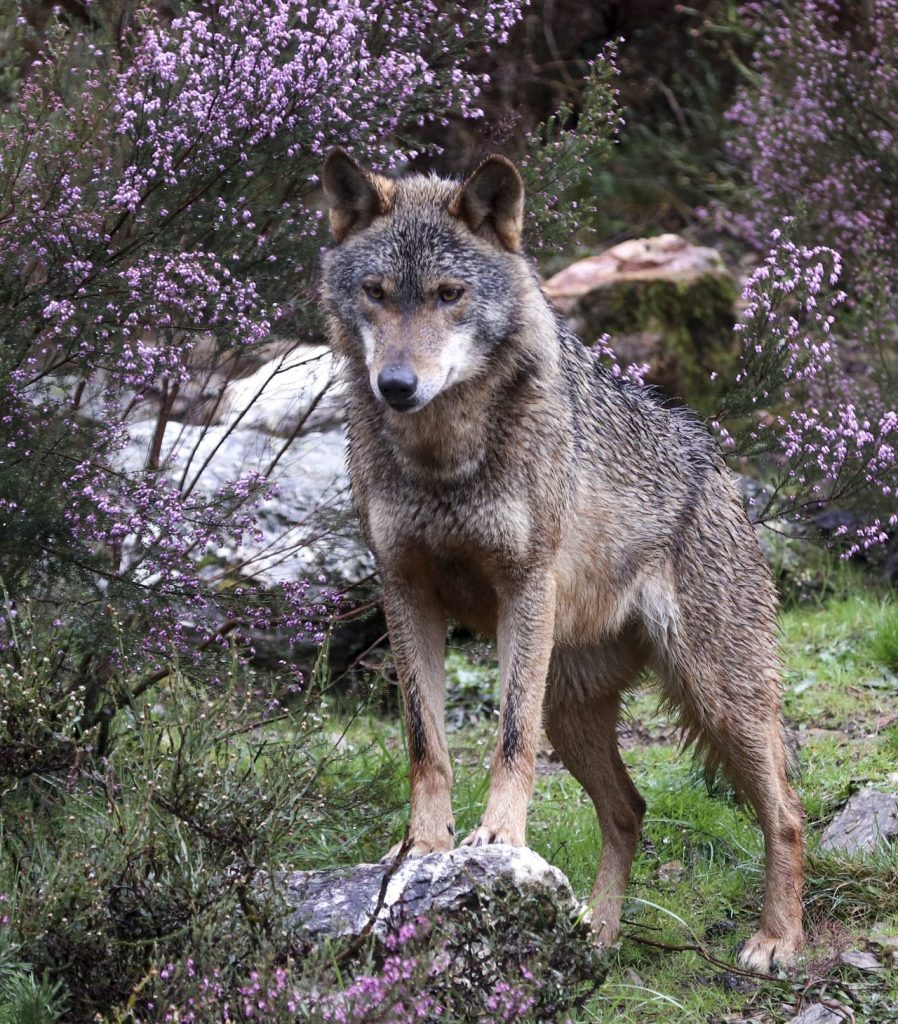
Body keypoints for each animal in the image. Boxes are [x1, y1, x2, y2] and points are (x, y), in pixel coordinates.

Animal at [320, 149, 804, 971]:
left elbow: (508, 741)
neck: (444, 457)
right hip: (575, 708)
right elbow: (426, 743)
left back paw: (777, 939)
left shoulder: (524, 588)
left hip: (720, 698)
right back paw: (595, 936)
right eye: (376, 293)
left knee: (787, 810)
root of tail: (722, 470)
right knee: (630, 809)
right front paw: (422, 849)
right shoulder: (404, 590)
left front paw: (498, 839)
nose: (397, 385)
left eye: (449, 295)